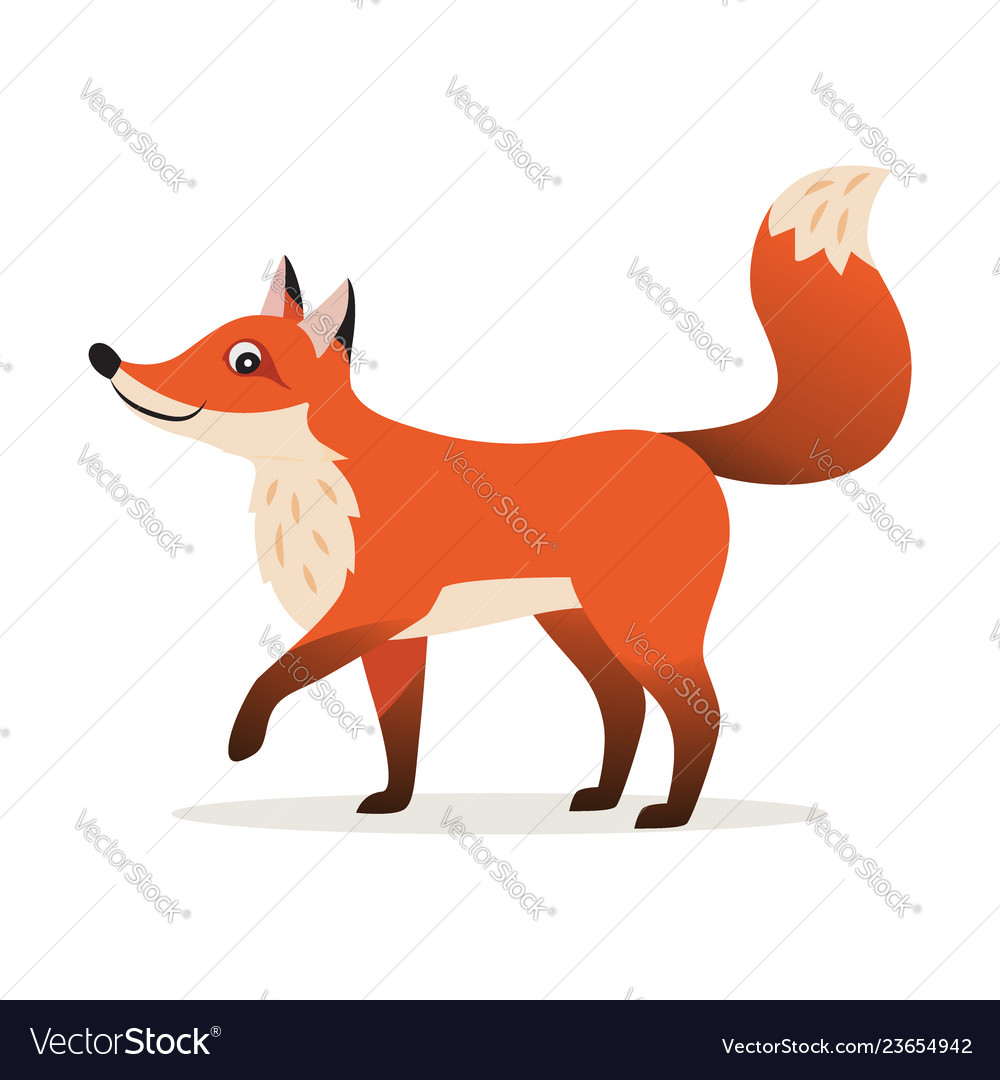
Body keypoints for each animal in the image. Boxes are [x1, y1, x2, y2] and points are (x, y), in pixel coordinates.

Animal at [89, 166, 910, 829]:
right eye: (204, 339)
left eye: (244, 361)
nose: (105, 357)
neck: (315, 491)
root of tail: (675, 440)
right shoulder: (397, 639)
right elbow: (402, 736)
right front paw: (392, 804)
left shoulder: (374, 611)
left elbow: (277, 674)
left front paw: (244, 741)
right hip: (579, 627)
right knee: (626, 708)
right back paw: (604, 800)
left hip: (643, 628)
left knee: (699, 712)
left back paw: (671, 815)